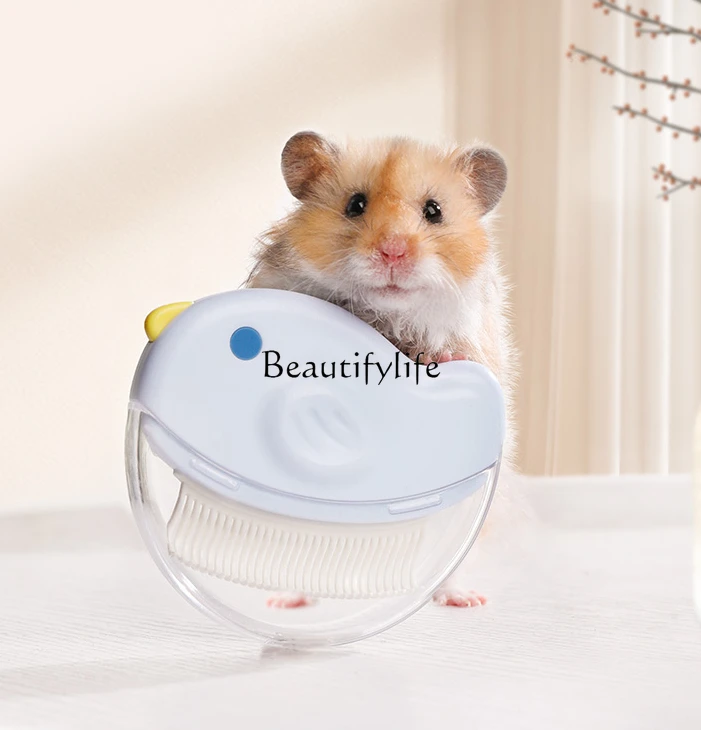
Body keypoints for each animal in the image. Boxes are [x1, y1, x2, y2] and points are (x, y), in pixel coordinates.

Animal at [247, 131, 518, 609]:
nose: (392, 252)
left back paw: (464, 599)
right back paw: (287, 600)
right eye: (355, 204)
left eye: (434, 210)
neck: (387, 314)